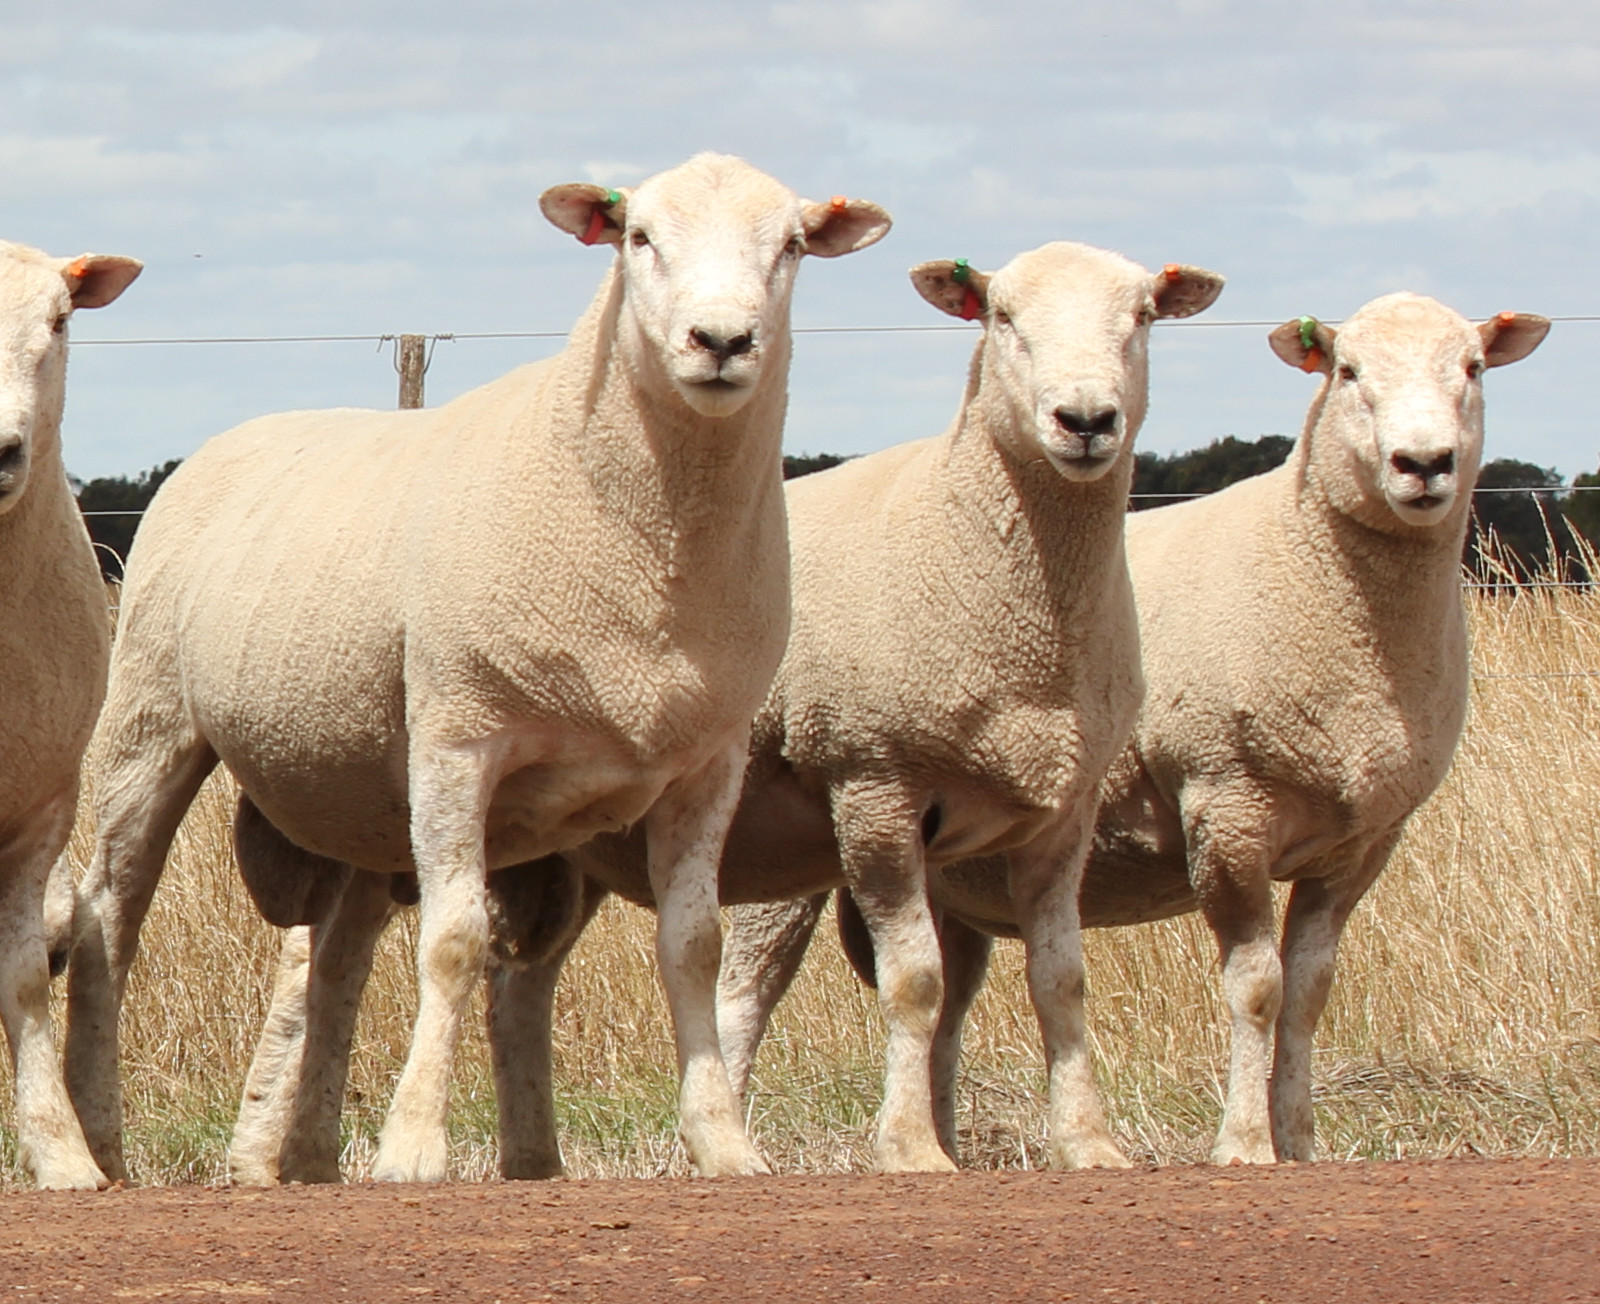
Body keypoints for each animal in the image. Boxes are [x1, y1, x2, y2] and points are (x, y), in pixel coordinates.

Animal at [62, 153, 891, 1185]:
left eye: (791, 245)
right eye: (639, 237)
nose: (722, 341)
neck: (649, 548)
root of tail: (234, 436)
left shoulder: (710, 763)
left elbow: (693, 945)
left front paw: (722, 1140)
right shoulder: (460, 740)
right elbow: (454, 943)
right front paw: (414, 1146)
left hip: (355, 787)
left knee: (337, 956)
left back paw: (312, 1155)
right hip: (152, 721)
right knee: (111, 917)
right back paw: (101, 1140)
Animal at [723, 292, 1551, 1167]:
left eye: (1473, 368)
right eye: (1348, 371)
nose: (1424, 464)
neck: (1318, 574)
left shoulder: (1363, 844)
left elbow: (1309, 993)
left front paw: (1299, 1143)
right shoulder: (1227, 802)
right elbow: (1258, 988)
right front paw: (1244, 1144)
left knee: (944, 1001)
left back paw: (940, 1140)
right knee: (746, 990)